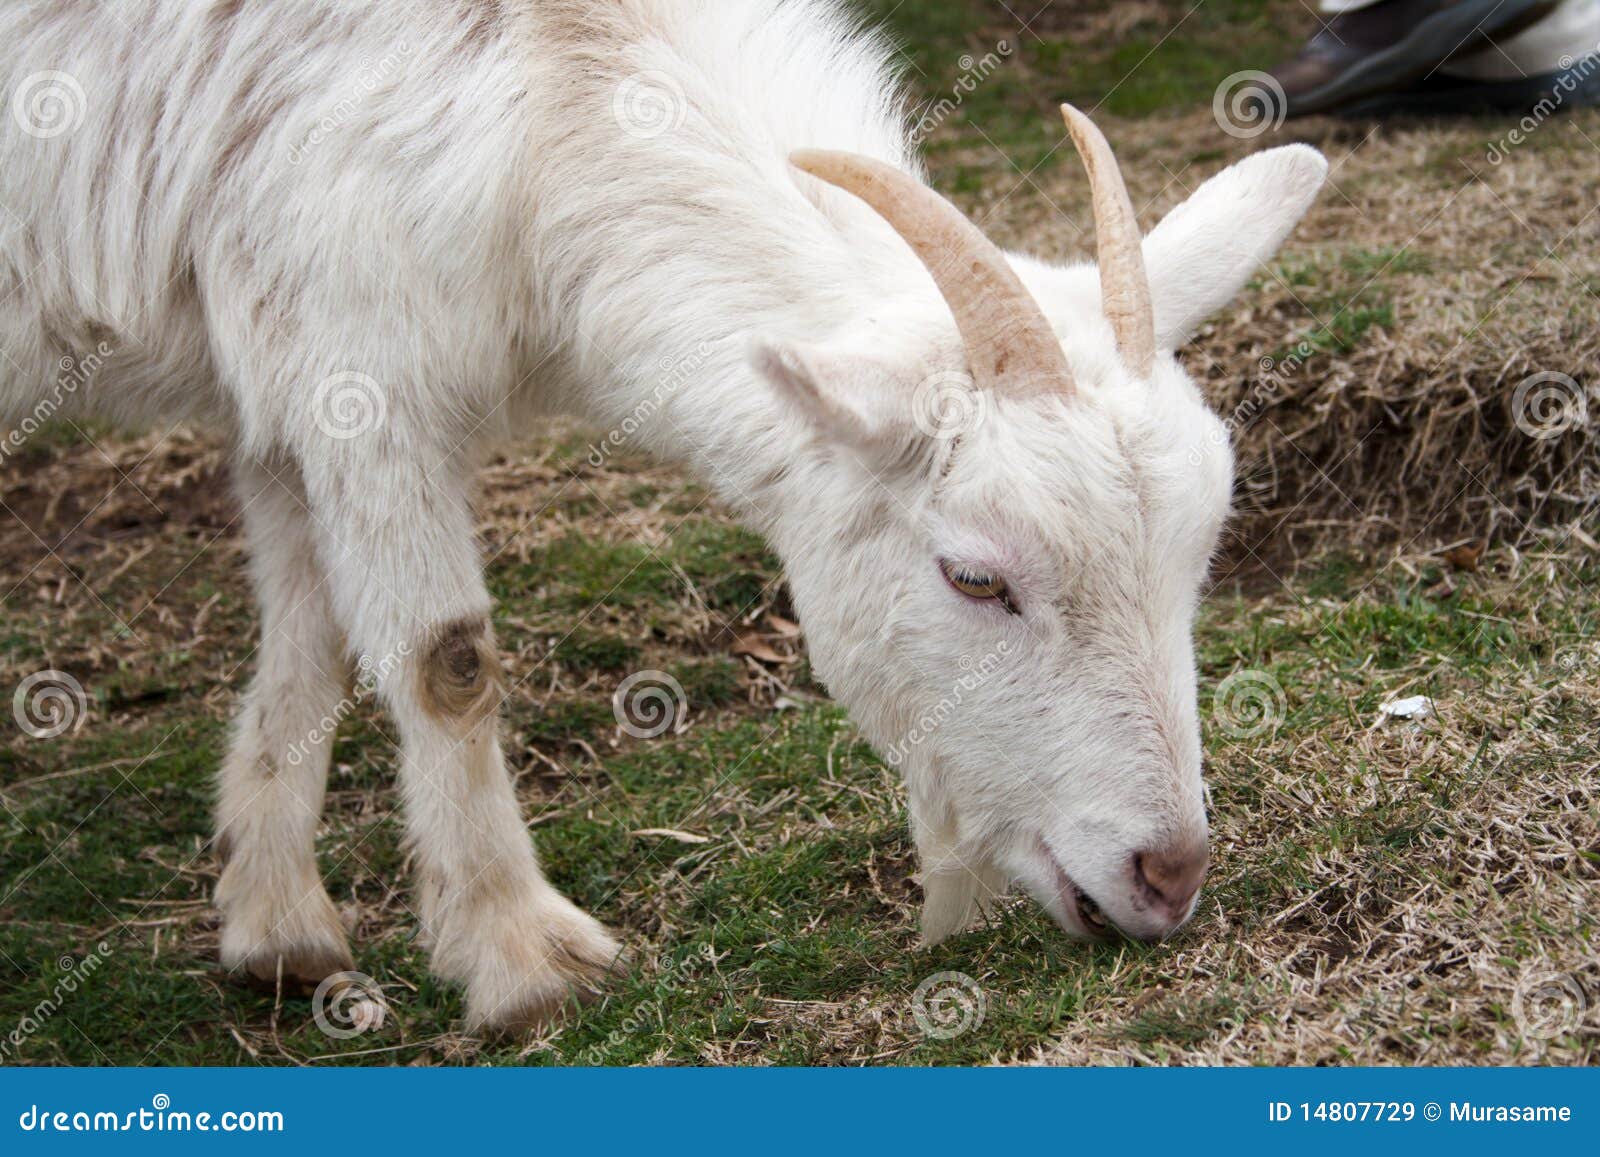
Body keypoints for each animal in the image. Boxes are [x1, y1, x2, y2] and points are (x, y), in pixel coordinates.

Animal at [0, 0, 1327, 1030]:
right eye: (975, 577)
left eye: (1195, 559)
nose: (1167, 873)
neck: (554, 81)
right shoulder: (354, 348)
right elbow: (445, 660)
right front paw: (520, 957)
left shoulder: (283, 366)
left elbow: (312, 631)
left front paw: (275, 924)